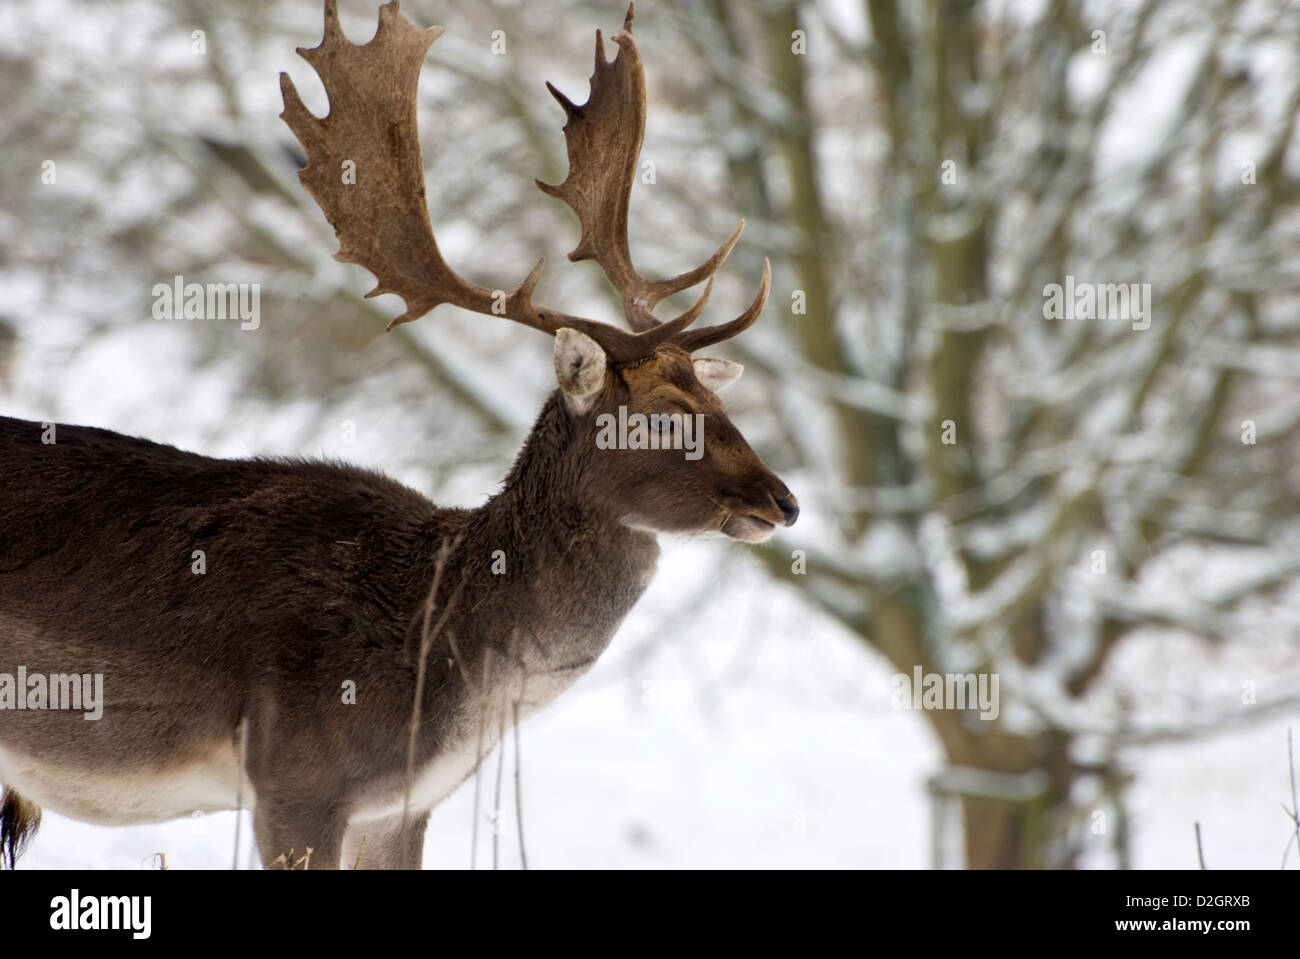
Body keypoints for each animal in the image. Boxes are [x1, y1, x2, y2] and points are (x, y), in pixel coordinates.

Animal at [0, 0, 797, 869]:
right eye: (661, 415)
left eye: (716, 400)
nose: (783, 501)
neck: (439, 657)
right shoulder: (295, 779)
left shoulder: (405, 804)